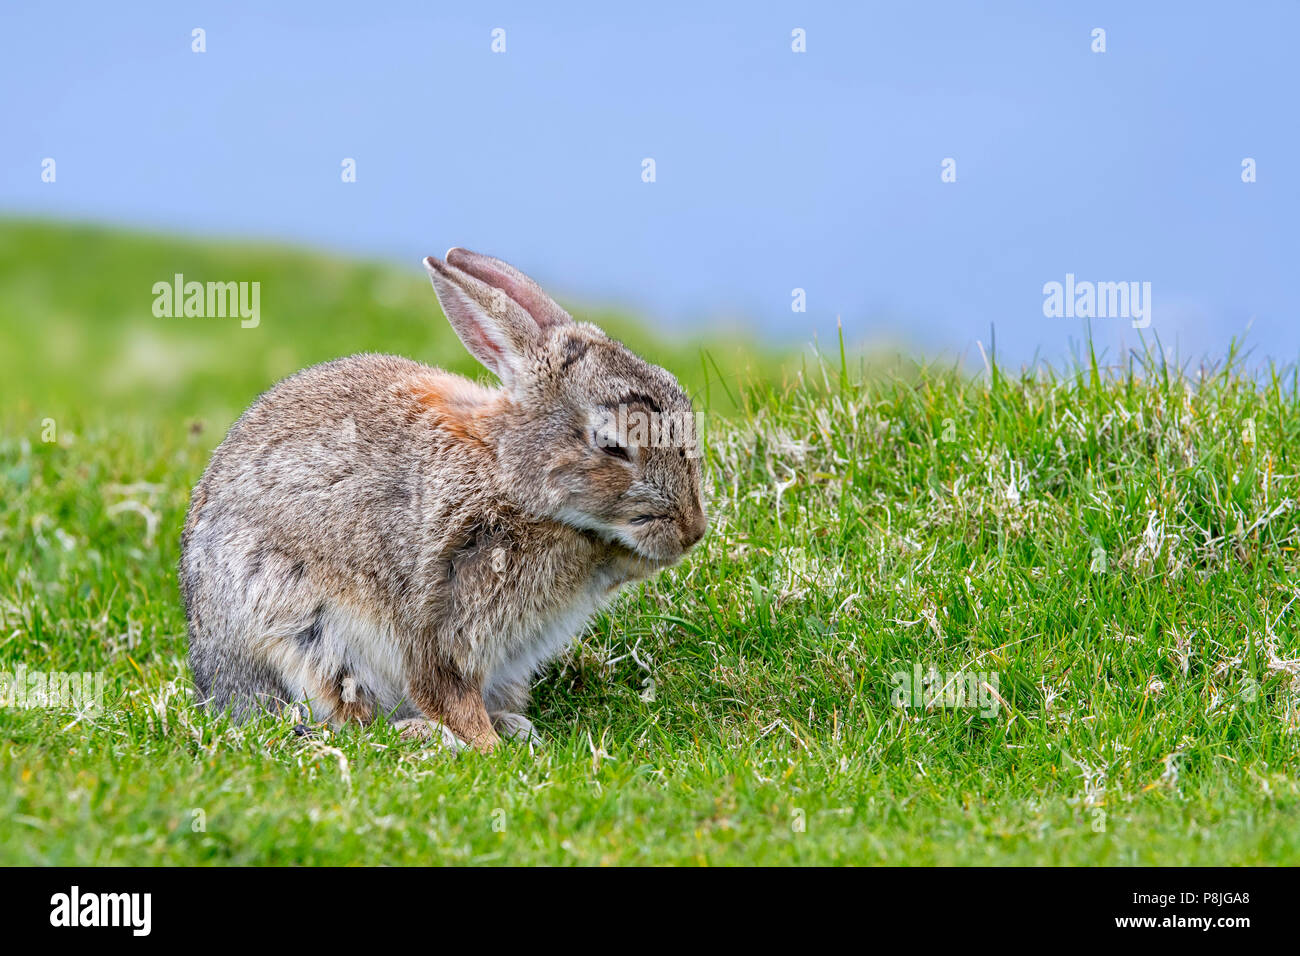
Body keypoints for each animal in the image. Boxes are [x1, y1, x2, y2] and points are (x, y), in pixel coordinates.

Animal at [181, 248, 708, 751]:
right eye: (613, 445)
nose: (692, 532)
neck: (508, 475)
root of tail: (215, 687)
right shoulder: (443, 612)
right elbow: (446, 689)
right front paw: (485, 747)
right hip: (299, 634)